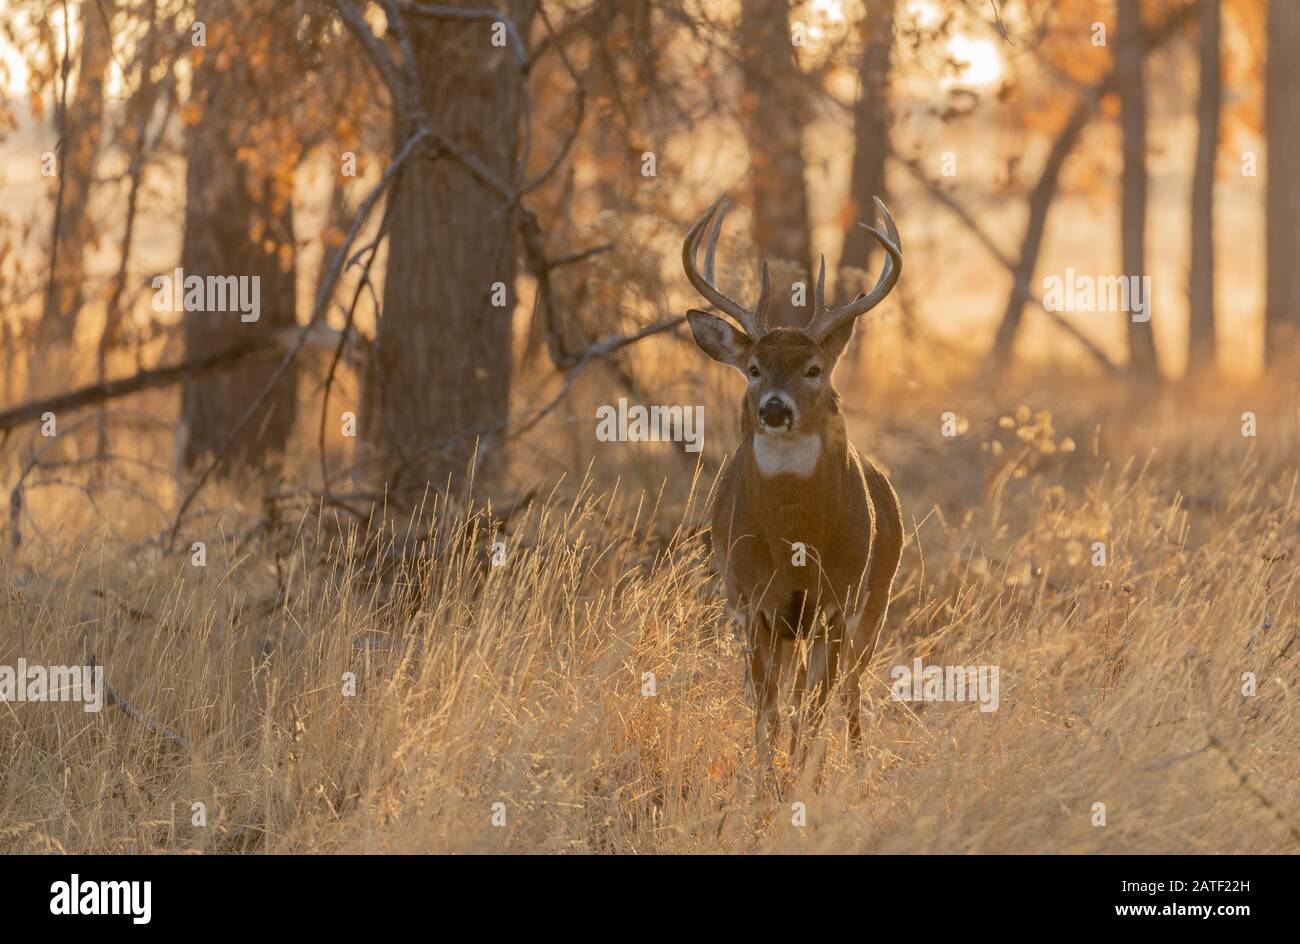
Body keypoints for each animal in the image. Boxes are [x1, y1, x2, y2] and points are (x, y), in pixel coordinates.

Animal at [683, 193, 905, 782]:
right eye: (754, 367)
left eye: (813, 368)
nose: (774, 409)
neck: (794, 544)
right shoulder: (749, 599)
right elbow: (768, 709)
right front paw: (766, 781)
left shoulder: (837, 600)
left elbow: (814, 707)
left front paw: (803, 779)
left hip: (876, 600)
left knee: (849, 691)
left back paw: (855, 761)